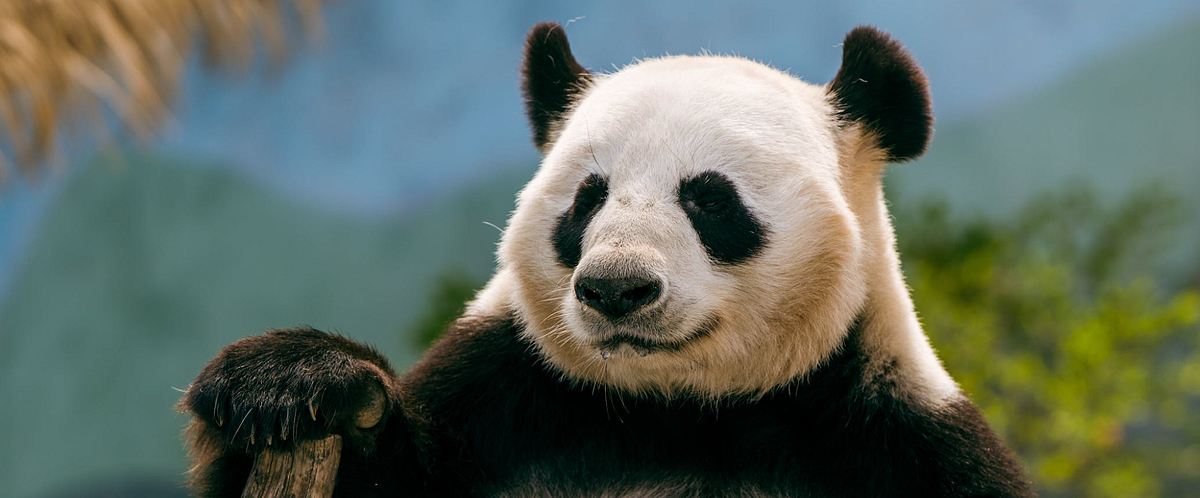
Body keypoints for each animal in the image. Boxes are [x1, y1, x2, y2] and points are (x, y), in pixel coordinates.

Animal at [181, 22, 1034, 497]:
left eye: (709, 199)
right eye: (588, 199)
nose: (616, 289)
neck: (677, 412)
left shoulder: (895, 441)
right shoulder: (506, 399)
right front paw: (291, 381)